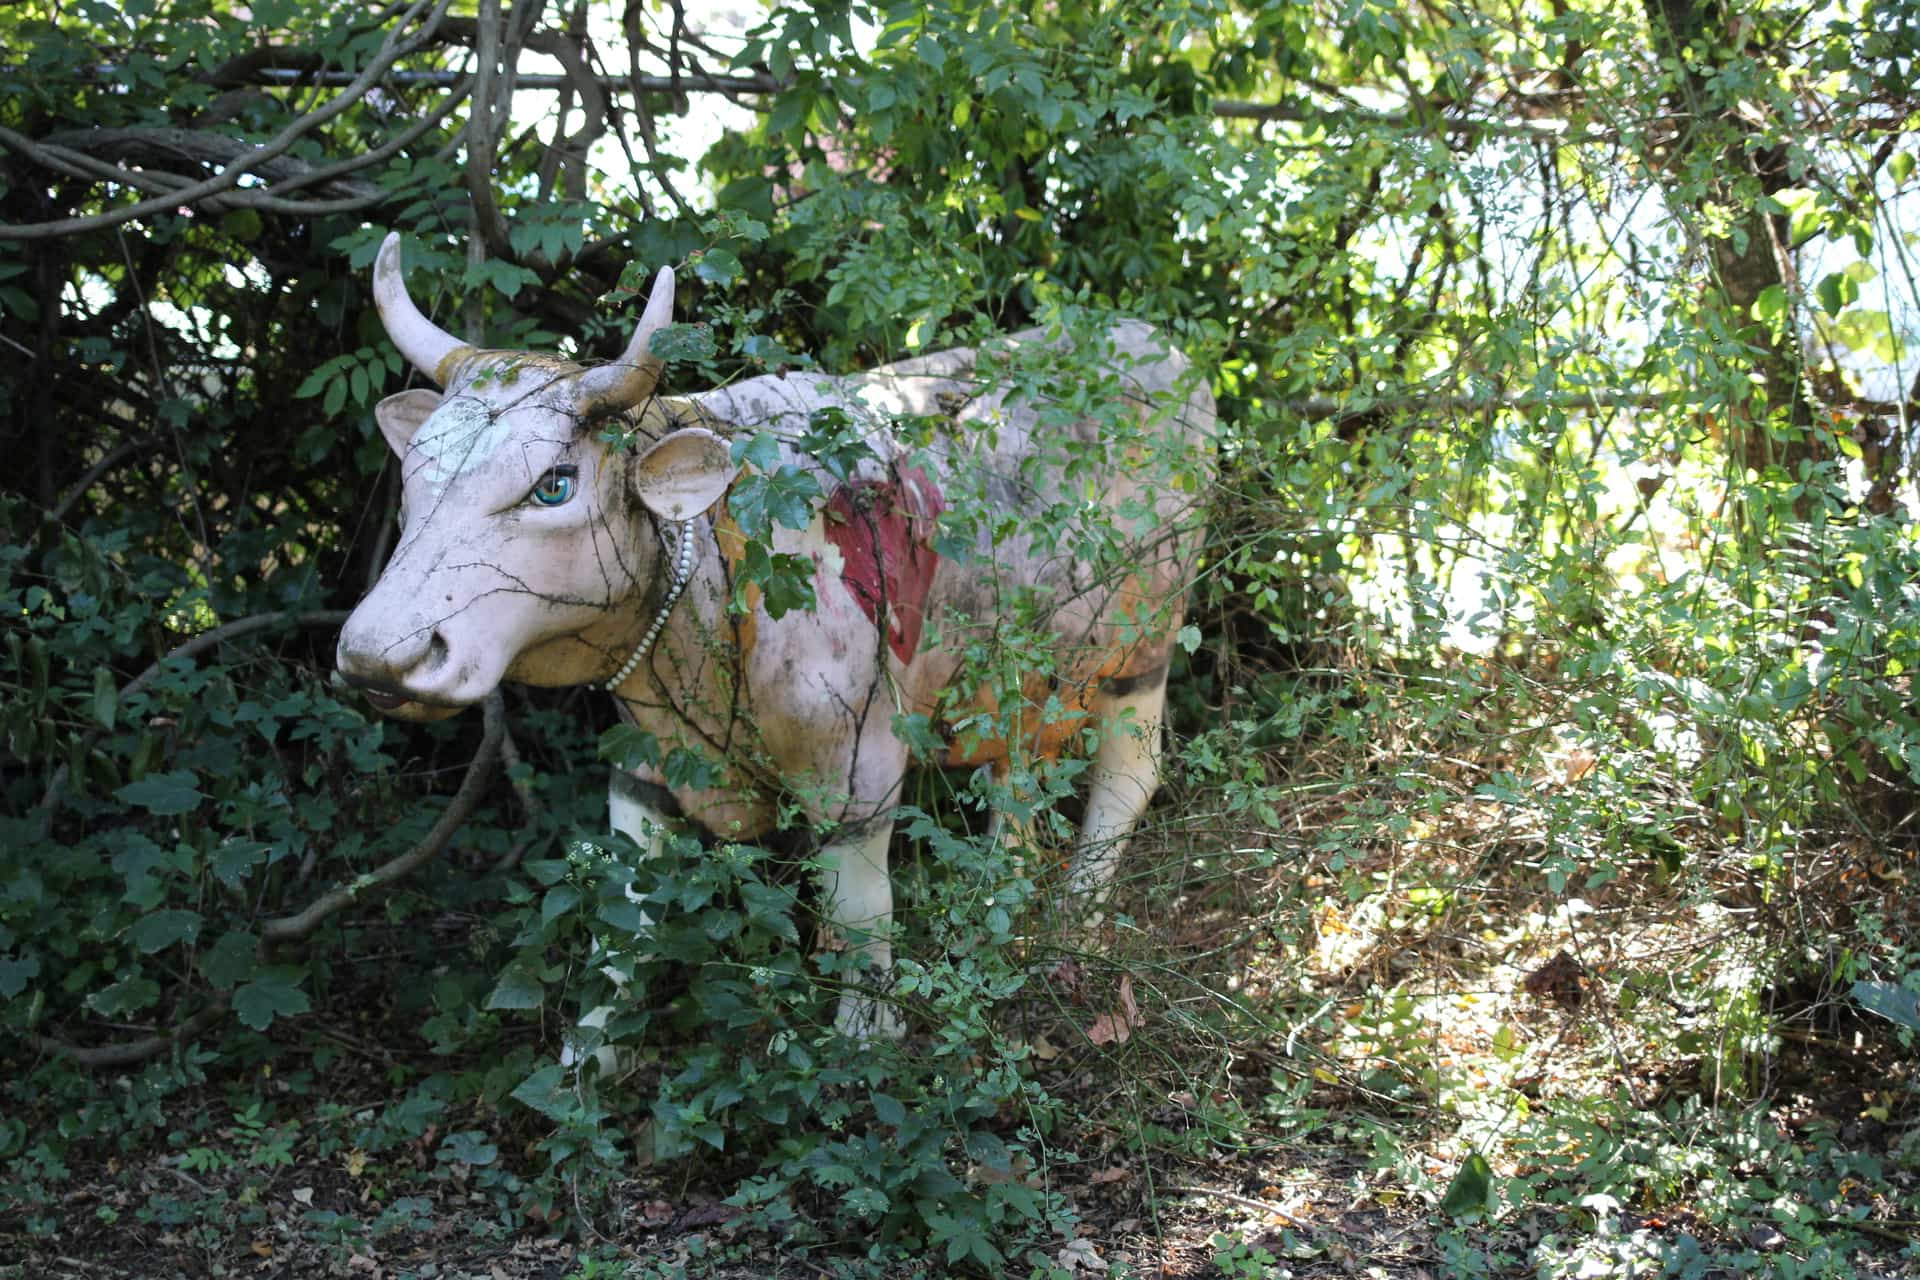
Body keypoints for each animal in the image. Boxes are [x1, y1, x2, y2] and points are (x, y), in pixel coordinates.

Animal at [335, 232, 1215, 1042]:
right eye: (413, 478)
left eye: (554, 485)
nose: (379, 655)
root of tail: (1163, 345)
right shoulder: (643, 765)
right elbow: (622, 924)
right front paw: (590, 1058)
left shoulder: (856, 766)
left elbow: (860, 914)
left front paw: (863, 1046)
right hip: (1018, 667)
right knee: (1016, 777)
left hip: (1146, 640)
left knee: (1128, 776)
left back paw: (1077, 921)